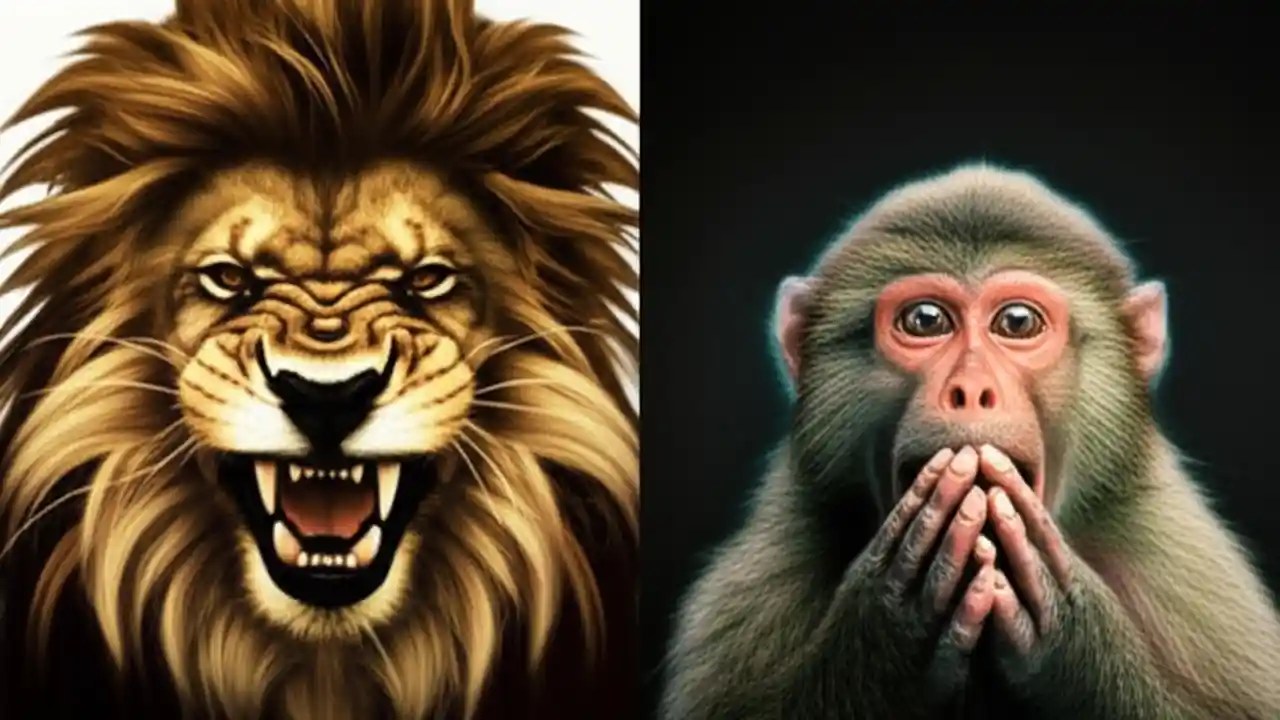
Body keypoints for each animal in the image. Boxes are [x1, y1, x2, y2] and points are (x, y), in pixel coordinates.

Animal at [659, 164, 1280, 719]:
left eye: (1018, 323)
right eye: (926, 320)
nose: (971, 390)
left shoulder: (1187, 573)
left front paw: (1073, 642)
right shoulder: (755, 590)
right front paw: (888, 637)